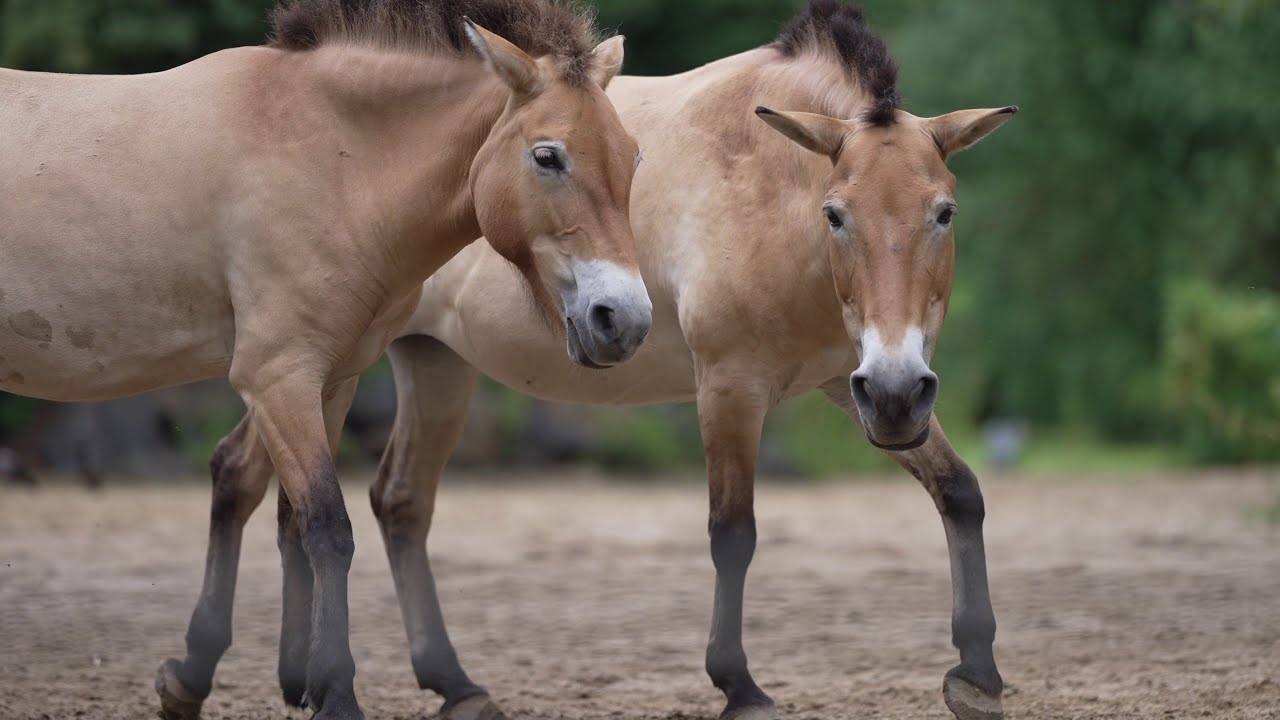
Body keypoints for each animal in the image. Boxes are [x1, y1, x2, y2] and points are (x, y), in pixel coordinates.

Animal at [0, 0, 651, 717]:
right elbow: (327, 528)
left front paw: (268, 680)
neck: (332, 159)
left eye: (632, 157)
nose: (624, 320)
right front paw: (337, 694)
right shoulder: (279, 378)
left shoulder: (332, 379)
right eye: (547, 156)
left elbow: (290, 519)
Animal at [198, 1, 1018, 718]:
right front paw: (739, 686)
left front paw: (978, 674)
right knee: (244, 476)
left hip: (428, 368)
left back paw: (440, 684)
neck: (765, 181)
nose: (900, 391)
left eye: (944, 212)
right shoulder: (732, 387)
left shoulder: (851, 386)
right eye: (836, 213)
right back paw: (211, 672)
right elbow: (733, 532)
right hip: (316, 371)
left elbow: (961, 492)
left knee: (392, 502)